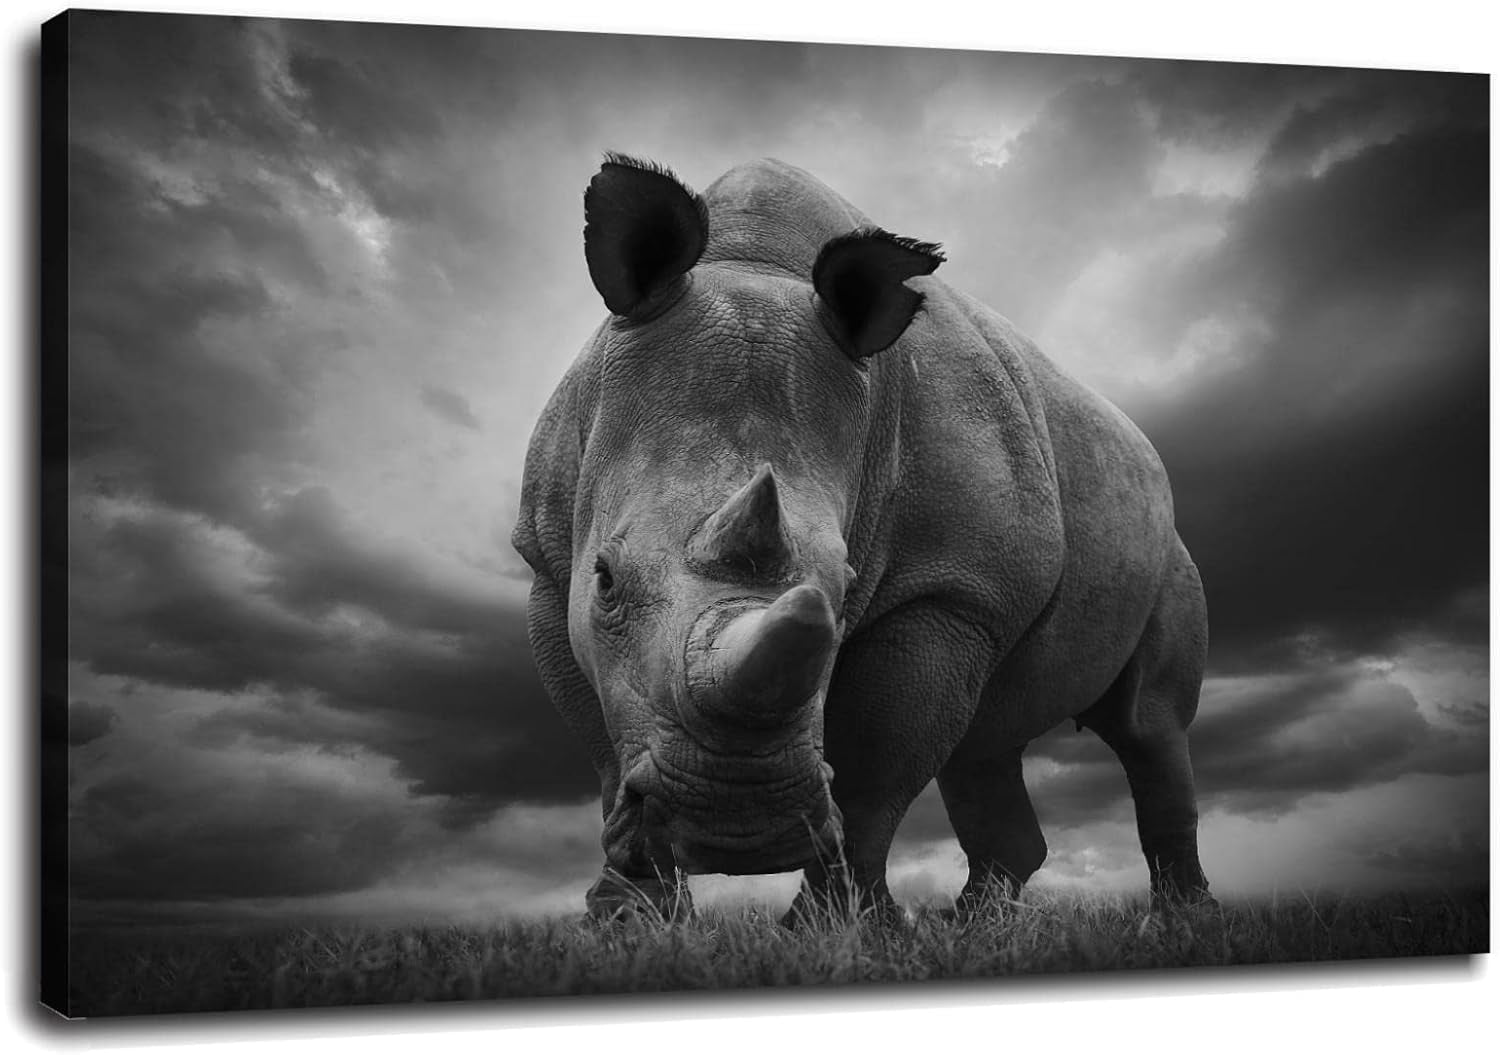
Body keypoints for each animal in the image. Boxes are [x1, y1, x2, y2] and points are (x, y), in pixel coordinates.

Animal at [512, 155, 1213, 922]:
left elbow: (878, 765)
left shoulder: (952, 588)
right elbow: (603, 744)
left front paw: (830, 928)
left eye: (846, 592)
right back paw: (976, 925)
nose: (737, 827)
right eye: (605, 579)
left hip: (1168, 548)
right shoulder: (549, 563)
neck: (751, 261)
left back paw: (1175, 919)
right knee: (984, 743)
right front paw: (627, 921)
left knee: (1148, 726)